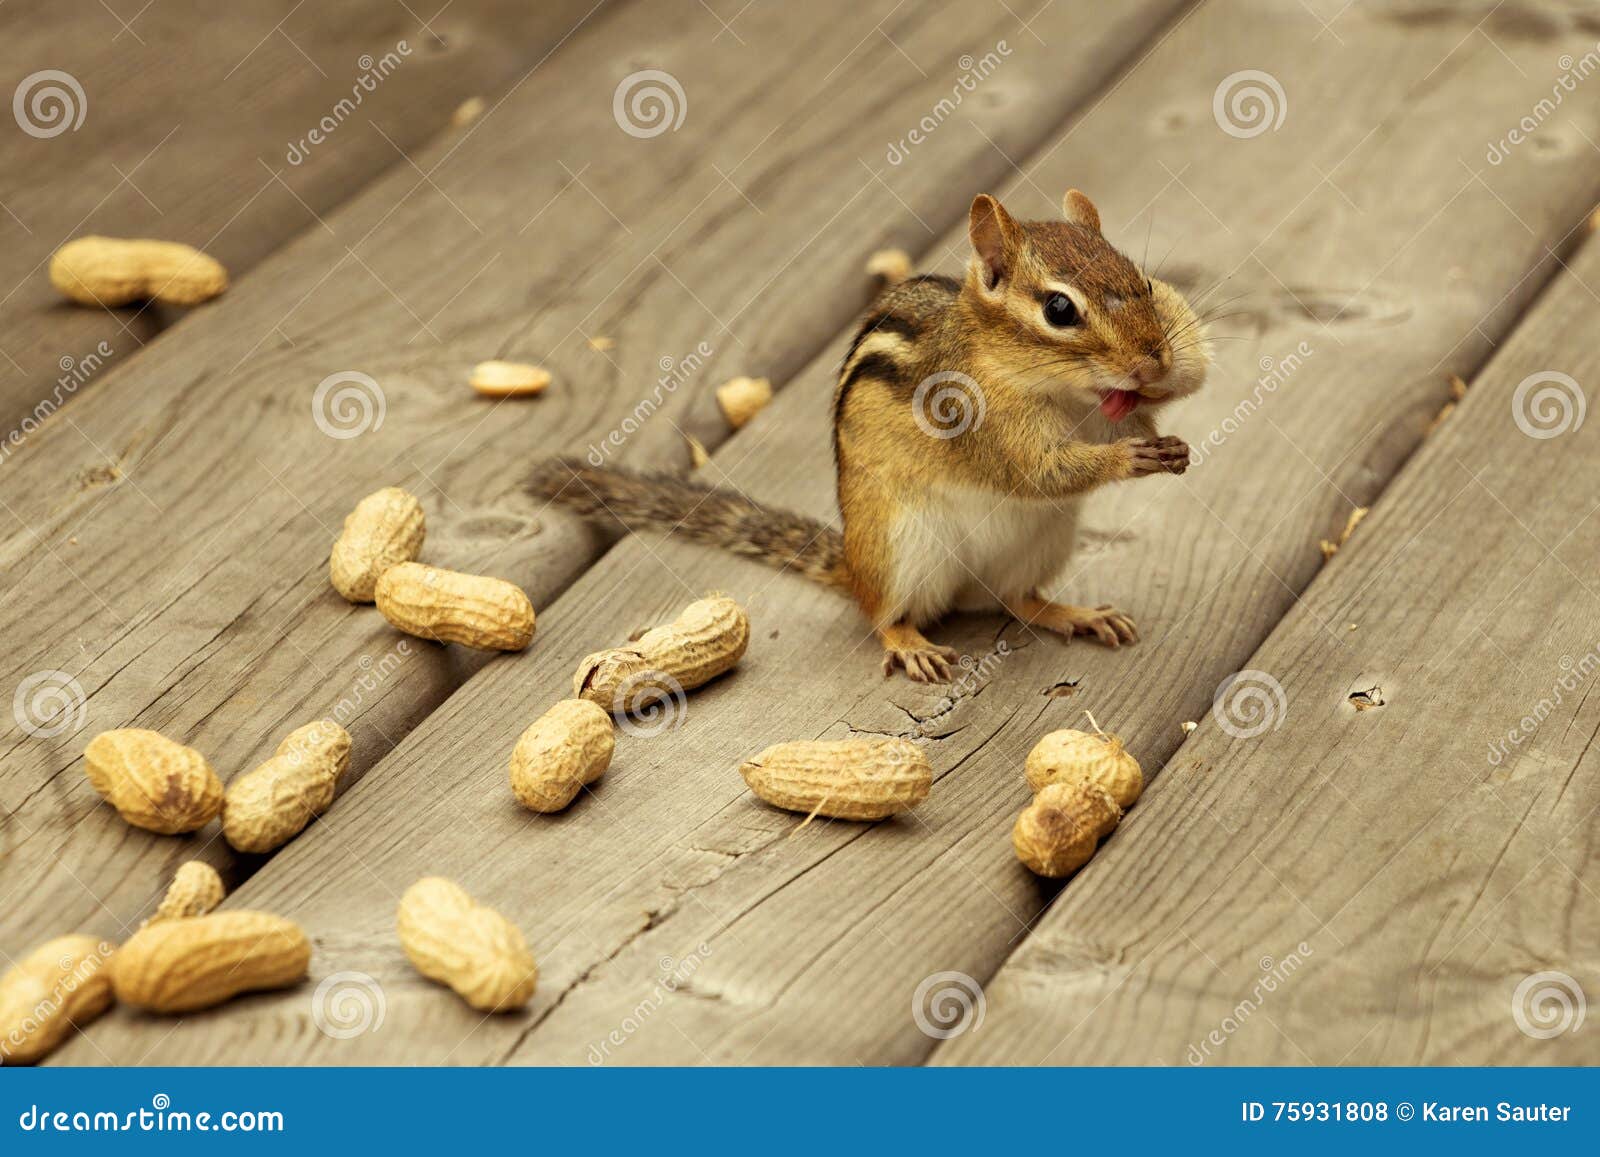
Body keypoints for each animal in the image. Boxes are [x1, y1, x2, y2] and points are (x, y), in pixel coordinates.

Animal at [528, 190, 1209, 683]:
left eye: (1145, 282)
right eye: (1060, 310)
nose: (1153, 360)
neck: (1060, 391)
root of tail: (853, 567)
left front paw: (1172, 440)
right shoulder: (978, 421)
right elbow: (1035, 471)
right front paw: (1129, 457)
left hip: (1042, 542)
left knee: (1018, 600)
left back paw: (1076, 613)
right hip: (902, 548)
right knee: (883, 615)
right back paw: (910, 641)